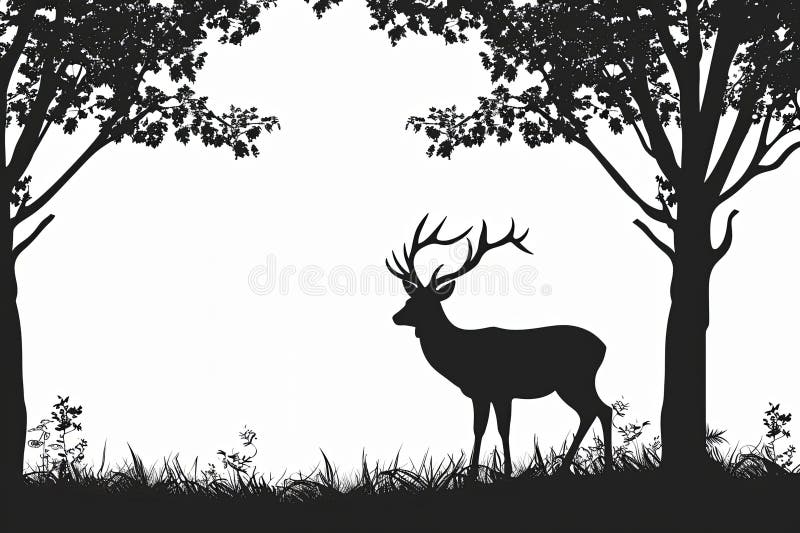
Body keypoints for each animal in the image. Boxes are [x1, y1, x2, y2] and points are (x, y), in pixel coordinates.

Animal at [386, 215, 613, 476]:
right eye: (408, 300)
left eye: (423, 303)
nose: (395, 317)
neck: (460, 353)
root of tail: (603, 348)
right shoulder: (481, 393)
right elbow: (481, 428)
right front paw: (476, 473)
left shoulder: (500, 390)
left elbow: (501, 428)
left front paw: (502, 471)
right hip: (574, 383)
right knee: (594, 411)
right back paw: (572, 467)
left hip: (574, 380)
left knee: (600, 409)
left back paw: (599, 467)